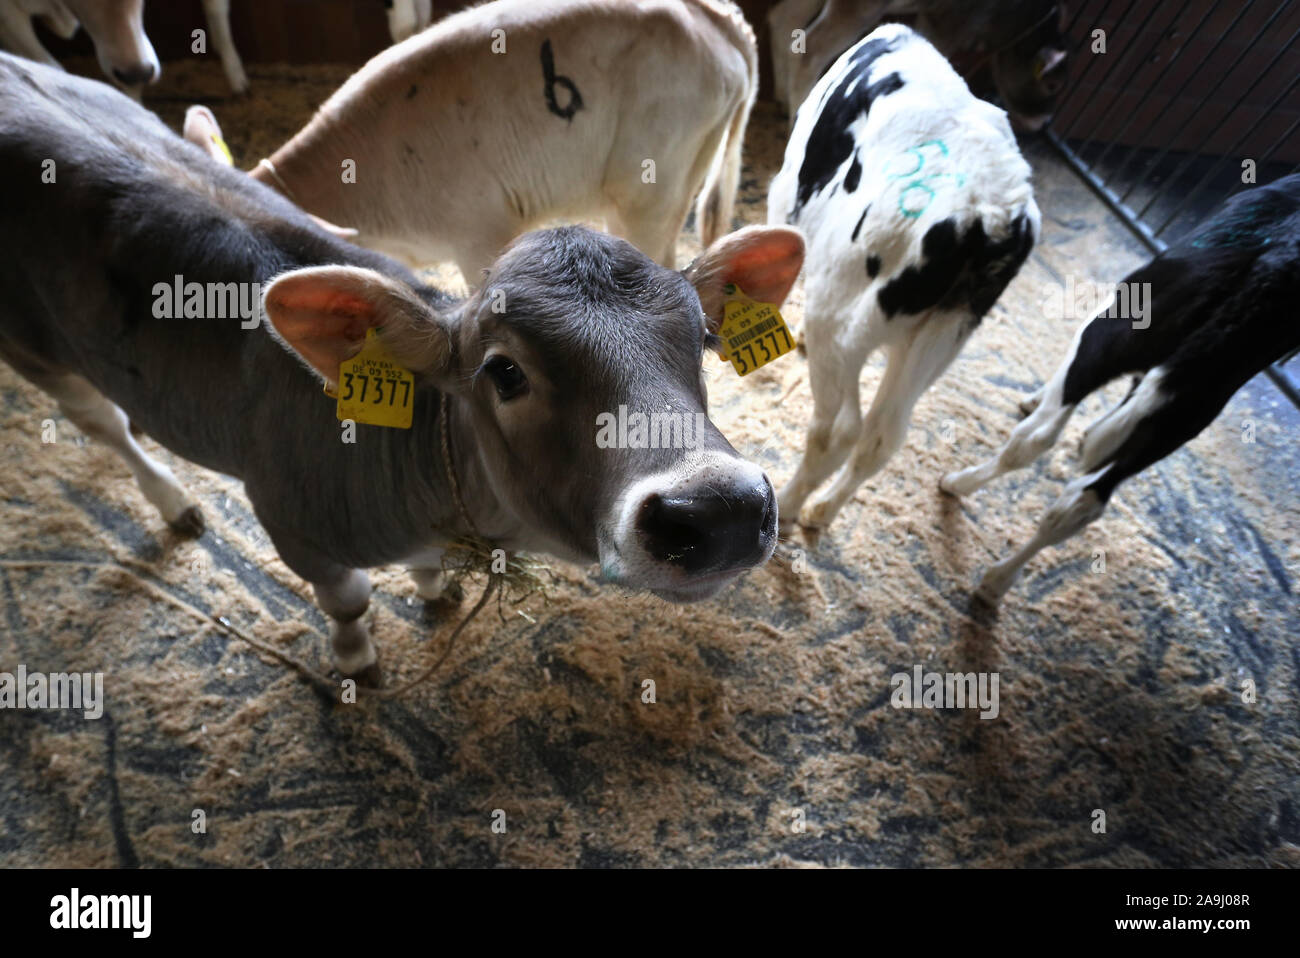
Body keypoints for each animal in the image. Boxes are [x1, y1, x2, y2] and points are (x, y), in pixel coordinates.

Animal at [0, 53, 805, 683]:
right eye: (503, 372)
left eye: (701, 339)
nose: (720, 510)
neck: (426, 496)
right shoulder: (293, 525)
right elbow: (350, 603)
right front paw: (357, 660)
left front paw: (434, 589)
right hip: (33, 348)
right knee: (101, 421)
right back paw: (171, 499)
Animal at [768, 0, 1069, 131]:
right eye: (1052, 85)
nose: (1045, 122)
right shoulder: (952, 21)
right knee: (812, 49)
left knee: (784, 19)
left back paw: (782, 98)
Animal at [769, 23, 1039, 538]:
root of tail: (994, 211)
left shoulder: (785, 190)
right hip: (938, 336)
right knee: (881, 434)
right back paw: (821, 511)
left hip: (841, 314)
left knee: (837, 429)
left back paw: (790, 505)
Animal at [941, 174, 1300, 603]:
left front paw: (1035, 400)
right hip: (1194, 404)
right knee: (1085, 498)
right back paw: (997, 583)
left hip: (1114, 328)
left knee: (1035, 437)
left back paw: (957, 485)